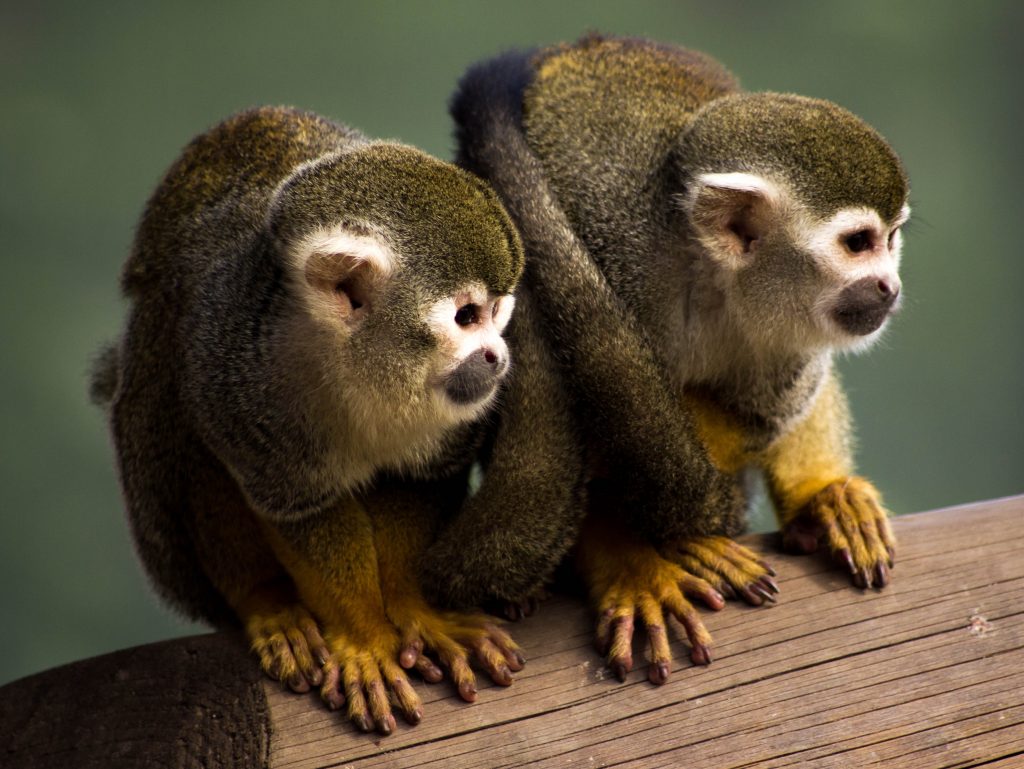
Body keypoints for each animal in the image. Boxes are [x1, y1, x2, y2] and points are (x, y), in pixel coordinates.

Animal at [91, 105, 578, 734]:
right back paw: (264, 601)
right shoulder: (239, 369)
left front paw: (415, 610)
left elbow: (412, 482)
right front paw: (364, 636)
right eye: (467, 317)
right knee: (180, 421)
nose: (498, 355)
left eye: (498, 313)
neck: (358, 366)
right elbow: (298, 505)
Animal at [449, 35, 906, 683]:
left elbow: (753, 418)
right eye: (858, 243)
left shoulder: (795, 331)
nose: (890, 286)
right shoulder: (612, 238)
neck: (712, 274)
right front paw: (633, 564)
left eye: (892, 239)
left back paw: (821, 495)